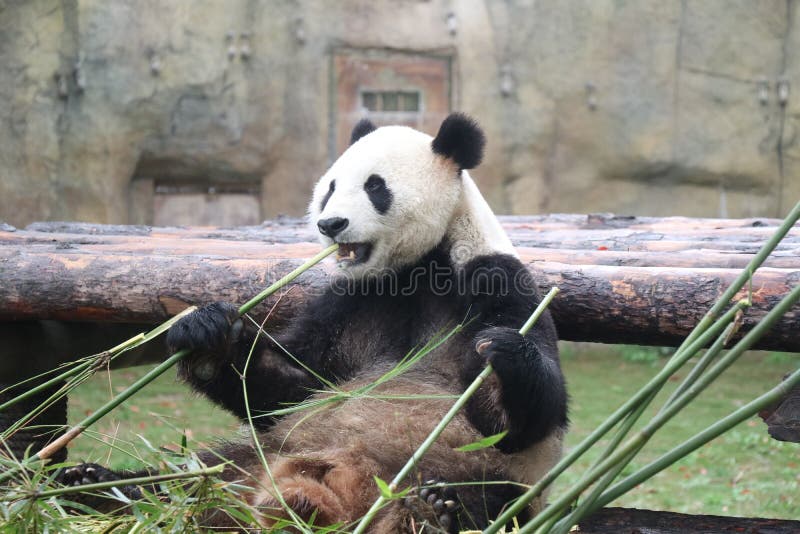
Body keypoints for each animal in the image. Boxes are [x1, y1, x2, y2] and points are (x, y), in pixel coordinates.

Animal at [61, 113, 568, 532]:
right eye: (331, 187)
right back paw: (92, 487)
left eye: (375, 187)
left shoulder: (492, 278)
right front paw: (208, 334)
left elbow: (519, 420)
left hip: (467, 470)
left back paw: (433, 512)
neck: (419, 265)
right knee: (187, 480)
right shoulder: (353, 302)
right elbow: (290, 387)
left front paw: (503, 354)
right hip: (260, 457)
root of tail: (337, 493)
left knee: (484, 499)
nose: (331, 224)